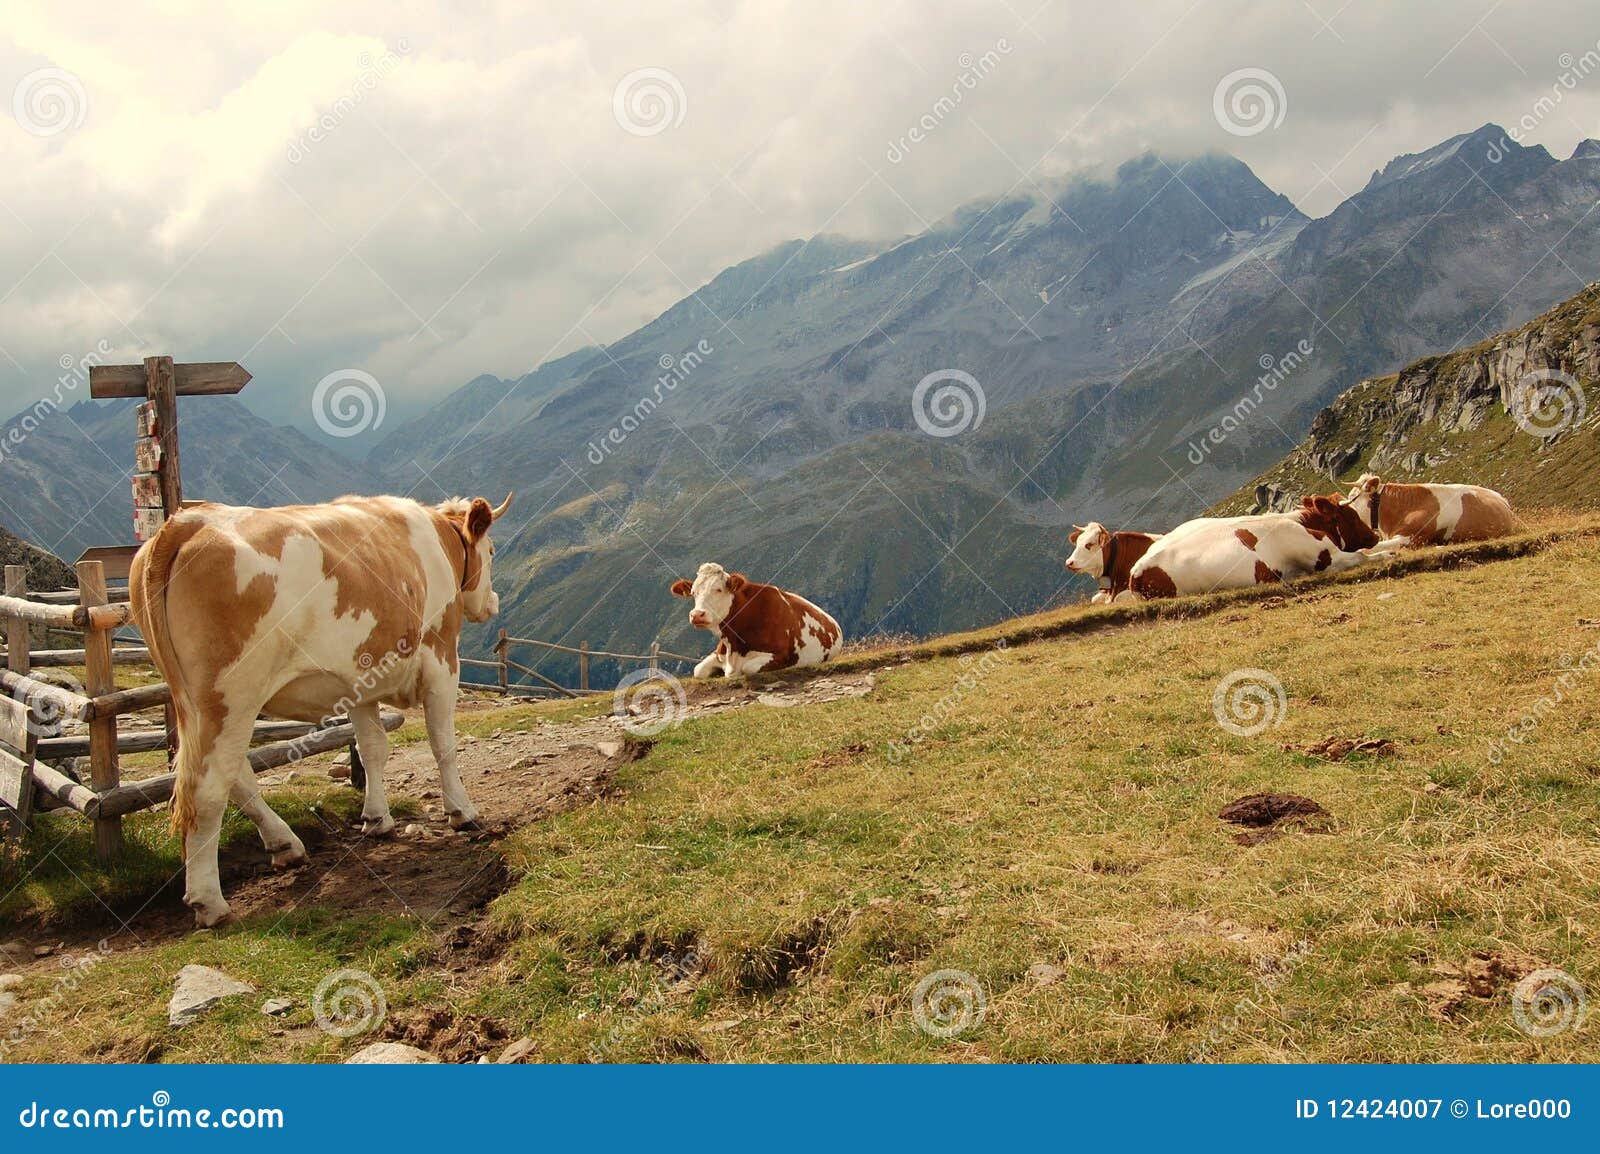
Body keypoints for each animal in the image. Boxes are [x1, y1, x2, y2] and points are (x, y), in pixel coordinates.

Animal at [130, 493, 513, 927]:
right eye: (492, 551)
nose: (493, 602)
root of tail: (187, 521)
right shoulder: (441, 660)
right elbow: (443, 745)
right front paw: (462, 812)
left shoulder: (360, 684)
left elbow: (372, 749)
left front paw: (377, 818)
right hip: (229, 696)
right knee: (208, 789)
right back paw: (209, 901)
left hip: (194, 701)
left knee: (236, 776)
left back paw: (285, 844)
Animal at [670, 562, 842, 678]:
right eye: (693, 592)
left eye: (718, 589)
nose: (697, 615)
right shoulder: (719, 653)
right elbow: (698, 670)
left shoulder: (783, 655)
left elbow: (748, 668)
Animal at [1127, 495, 1381, 599]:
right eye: (1352, 515)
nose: (1374, 535)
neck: (1300, 522)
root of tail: (1136, 570)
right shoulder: (1326, 560)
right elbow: (1362, 556)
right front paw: (1385, 552)